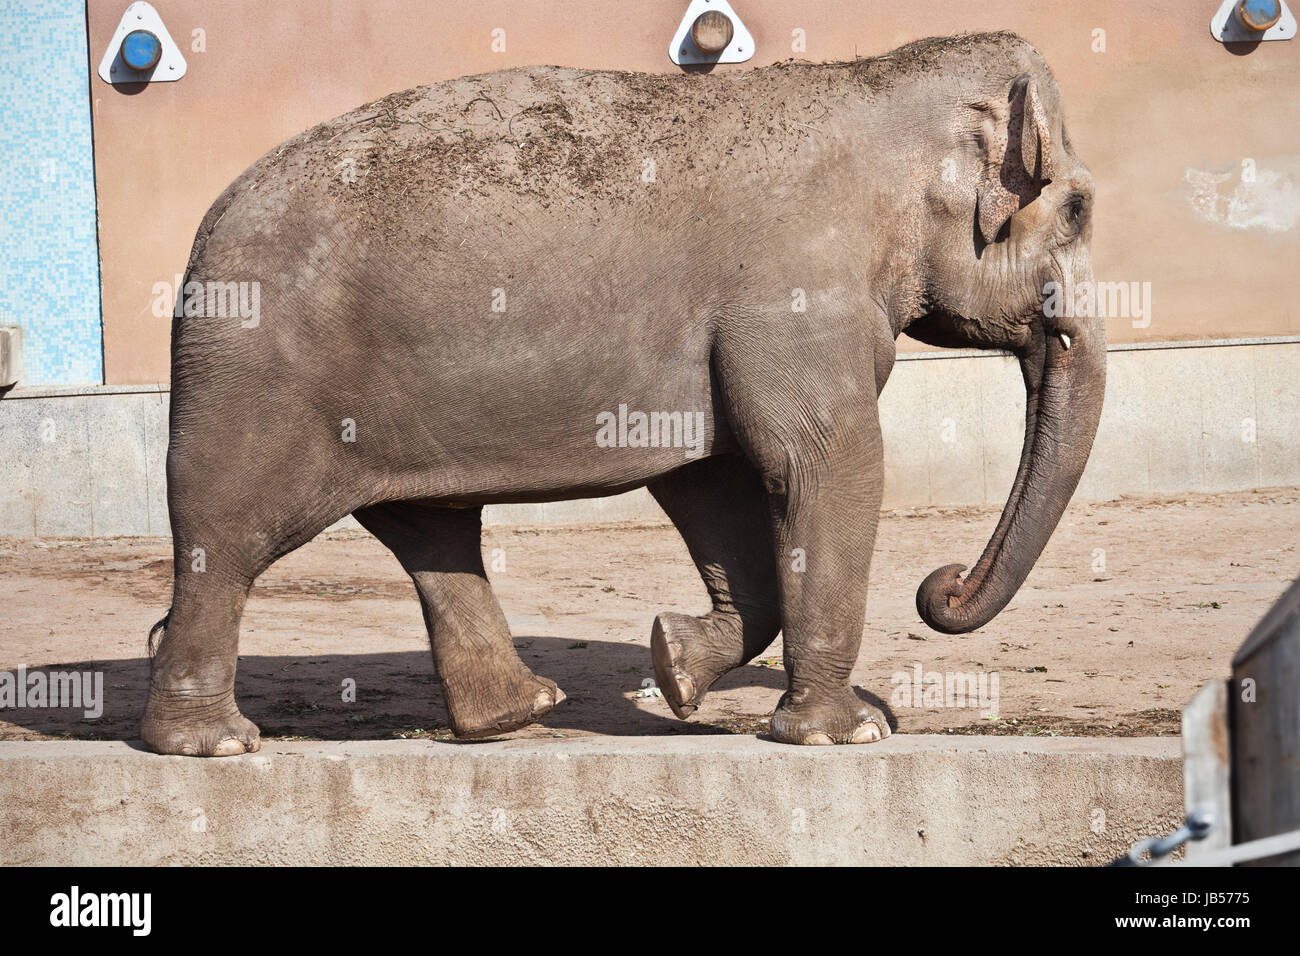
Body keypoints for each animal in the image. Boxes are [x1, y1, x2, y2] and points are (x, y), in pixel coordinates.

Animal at [142, 31, 1104, 756]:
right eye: (1081, 209)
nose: (942, 586)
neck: (876, 84)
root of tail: (203, 232)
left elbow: (715, 483)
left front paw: (673, 667)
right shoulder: (796, 300)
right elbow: (826, 462)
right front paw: (848, 735)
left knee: (431, 530)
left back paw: (519, 713)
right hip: (254, 377)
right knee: (229, 534)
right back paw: (213, 743)